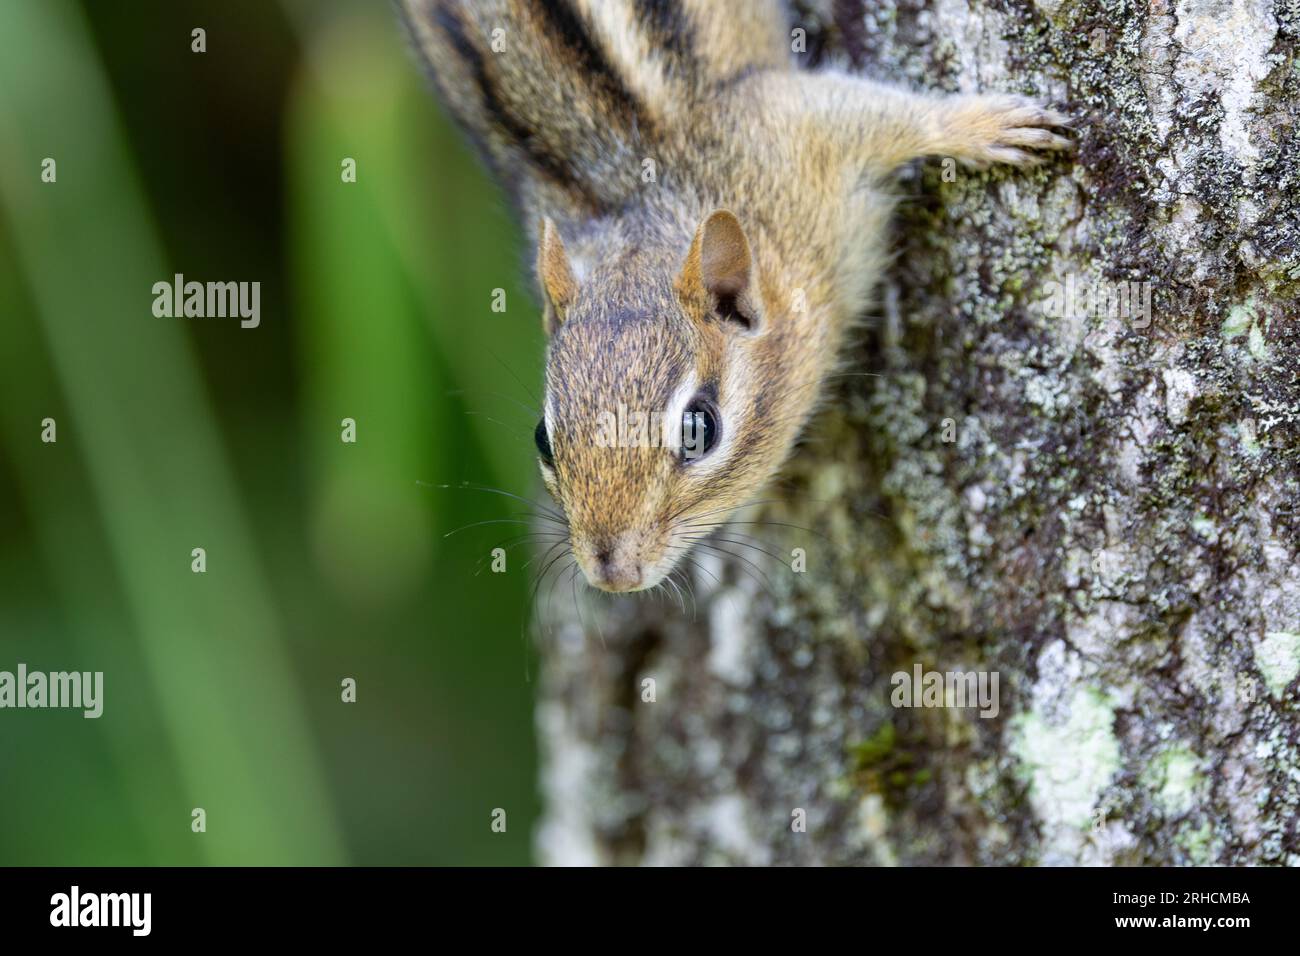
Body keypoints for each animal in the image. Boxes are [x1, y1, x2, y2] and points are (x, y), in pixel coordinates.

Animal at [399, 0, 1071, 593]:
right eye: (543, 436)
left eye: (701, 428)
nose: (612, 575)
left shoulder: (790, 127)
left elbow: (891, 116)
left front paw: (984, 126)